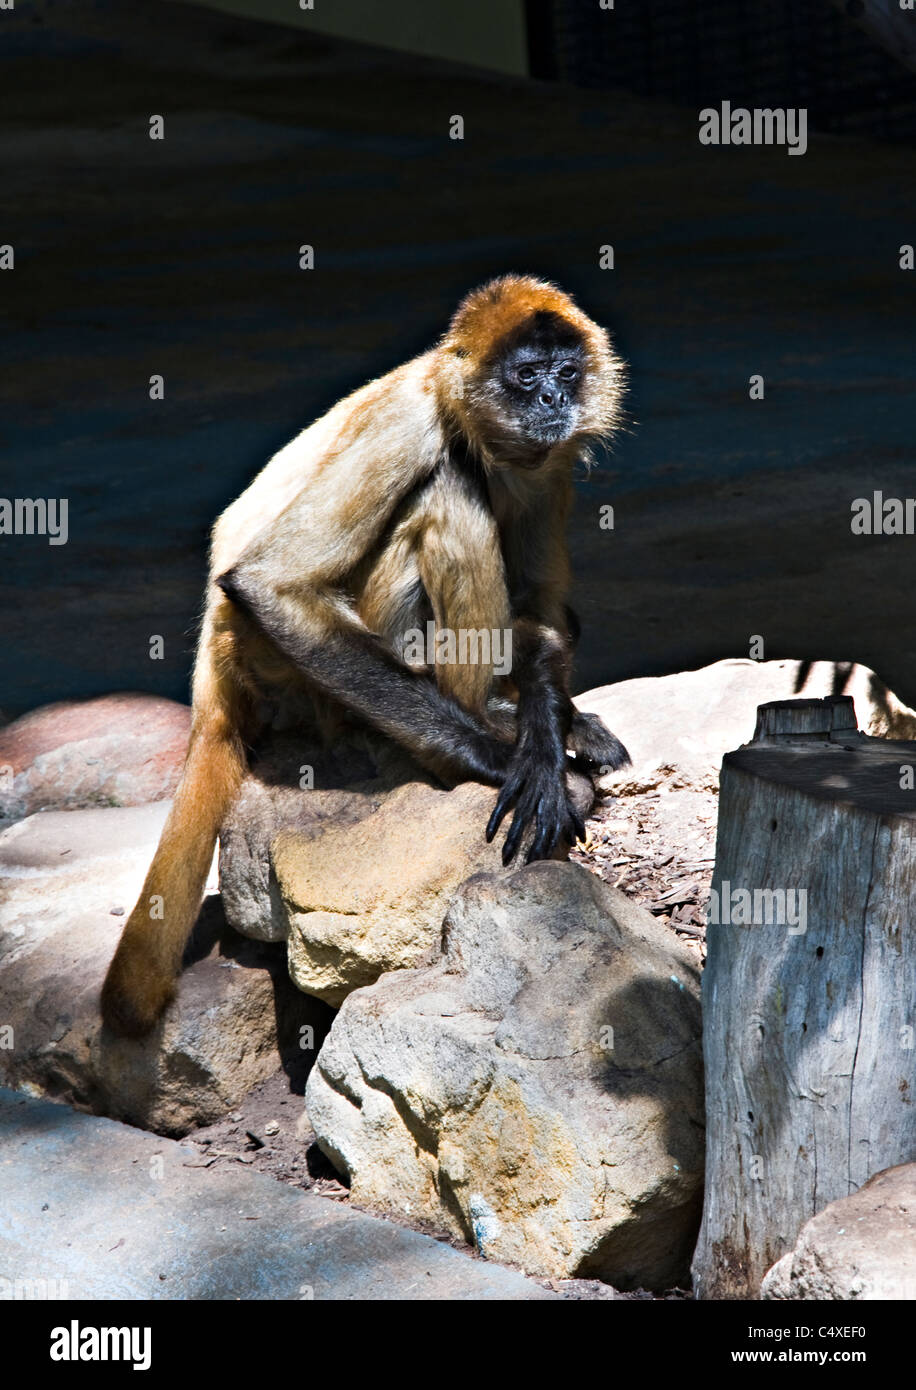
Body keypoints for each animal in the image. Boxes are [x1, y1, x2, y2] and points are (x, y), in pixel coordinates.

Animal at [100, 275, 630, 1039]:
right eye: (527, 377)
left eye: (565, 373)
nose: (554, 402)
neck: (462, 416)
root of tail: (216, 659)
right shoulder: (410, 421)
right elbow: (270, 584)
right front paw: (497, 757)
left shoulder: (546, 461)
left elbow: (541, 606)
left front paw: (546, 725)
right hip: (286, 667)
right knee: (448, 489)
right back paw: (474, 731)